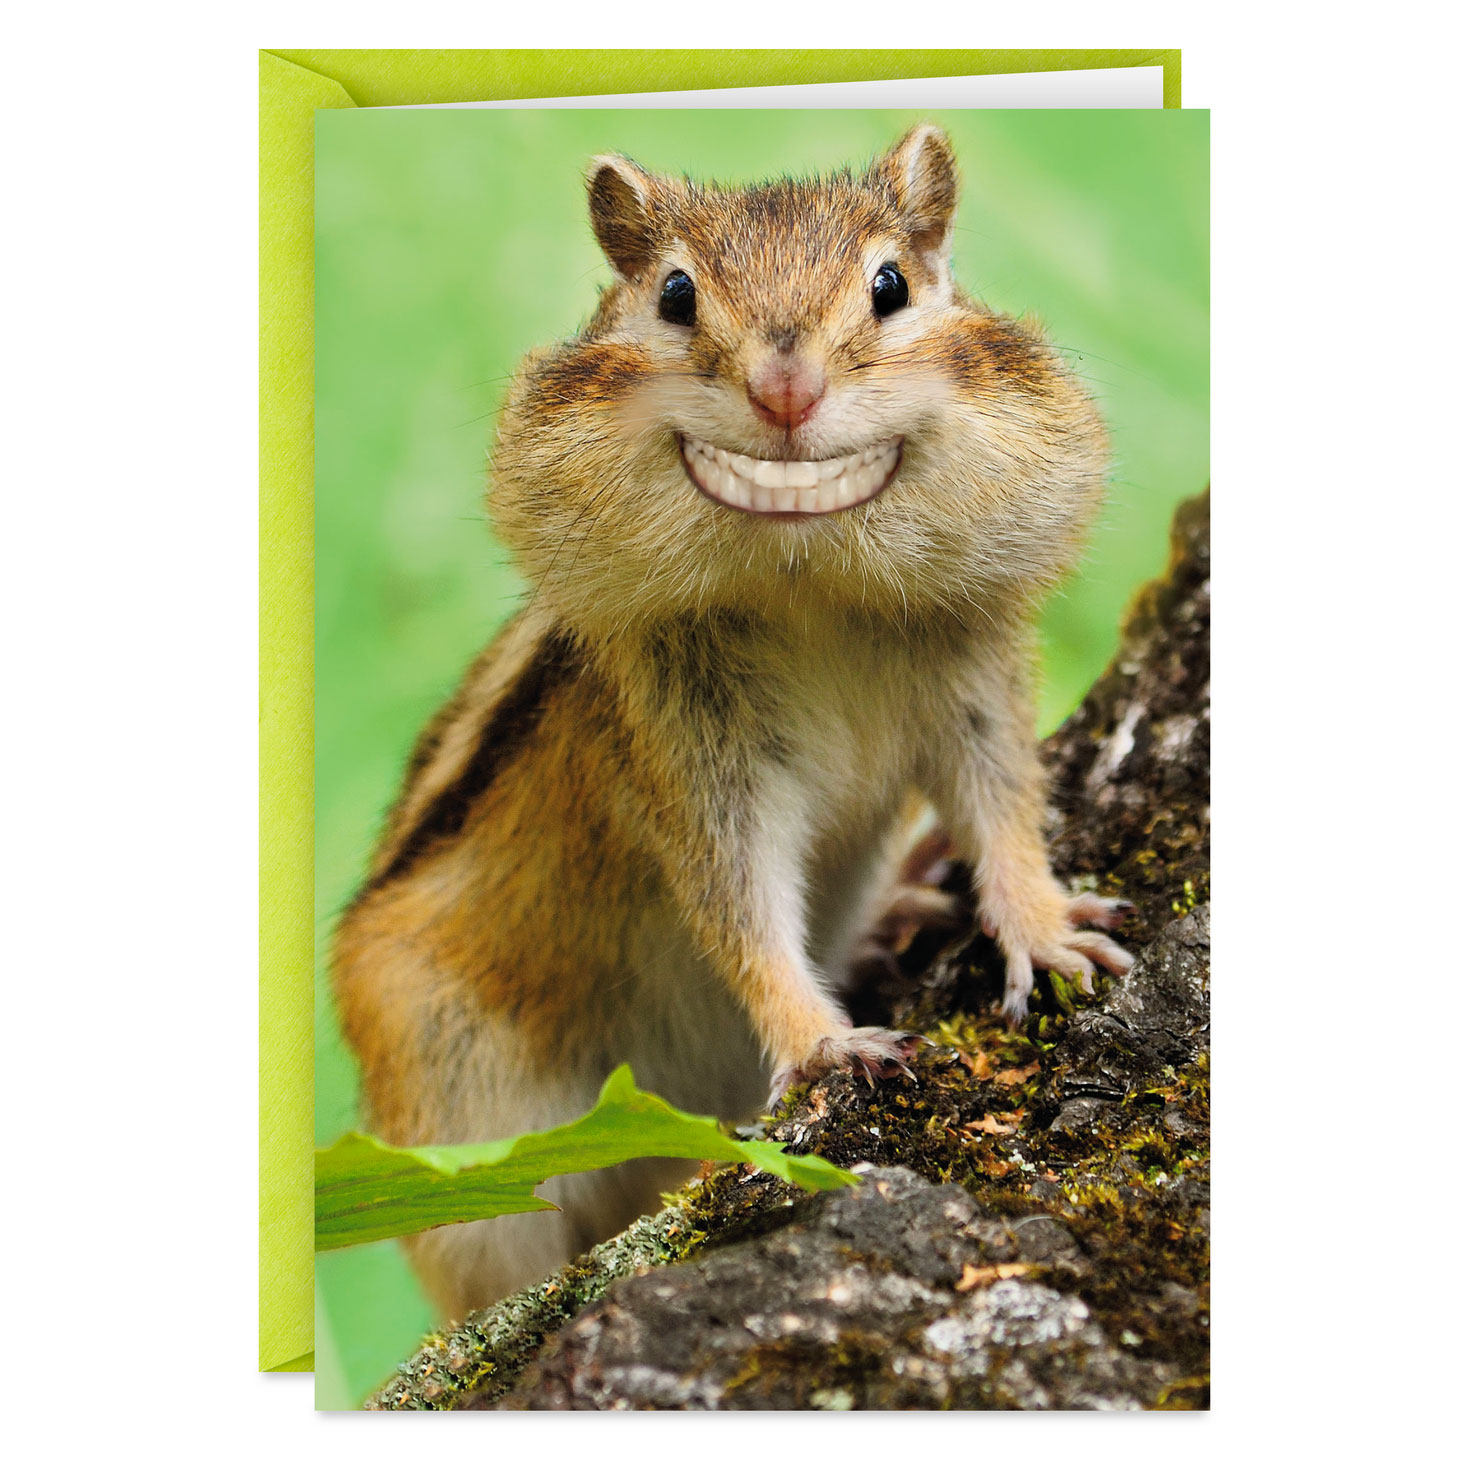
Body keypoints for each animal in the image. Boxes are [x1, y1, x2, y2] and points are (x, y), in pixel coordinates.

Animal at [332, 125, 1134, 1320]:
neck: (811, 580)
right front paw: (822, 1041)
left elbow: (1002, 807)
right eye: (674, 295)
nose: (784, 386)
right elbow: (739, 904)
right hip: (461, 1142)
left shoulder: (973, 674)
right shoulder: (684, 746)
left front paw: (1040, 925)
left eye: (891, 286)